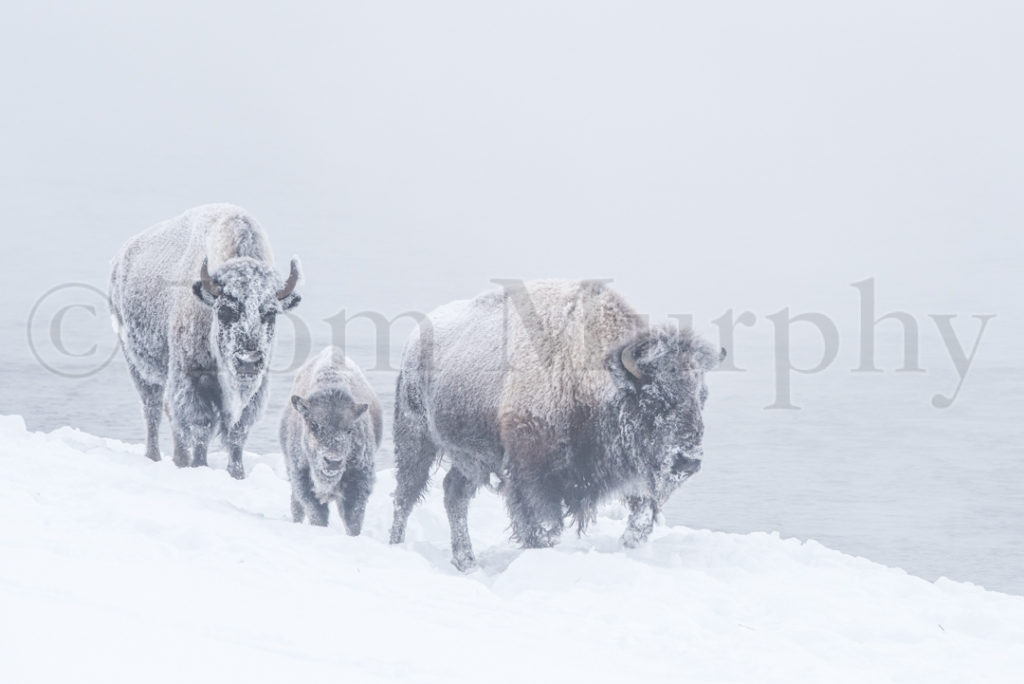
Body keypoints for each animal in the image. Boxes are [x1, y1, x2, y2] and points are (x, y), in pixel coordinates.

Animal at [109, 203, 301, 479]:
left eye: (271, 313)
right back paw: (158, 457)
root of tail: (121, 258)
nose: (248, 361)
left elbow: (237, 432)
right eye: (225, 311)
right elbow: (200, 426)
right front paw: (199, 465)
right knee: (153, 410)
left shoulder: (255, 388)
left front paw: (237, 474)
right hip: (140, 368)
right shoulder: (192, 378)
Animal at [280, 346, 380, 535]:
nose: (333, 461)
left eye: (349, 429)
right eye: (313, 425)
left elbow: (353, 520)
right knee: (296, 506)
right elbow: (317, 515)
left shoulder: (358, 484)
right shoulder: (303, 481)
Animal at [388, 279, 724, 570]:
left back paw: (466, 561)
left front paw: (628, 544)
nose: (688, 460)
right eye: (655, 398)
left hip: (472, 459)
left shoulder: (631, 472)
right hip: (415, 439)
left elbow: (641, 517)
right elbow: (544, 528)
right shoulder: (532, 476)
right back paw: (396, 545)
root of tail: (415, 339)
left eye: (701, 397)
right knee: (405, 495)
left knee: (453, 492)